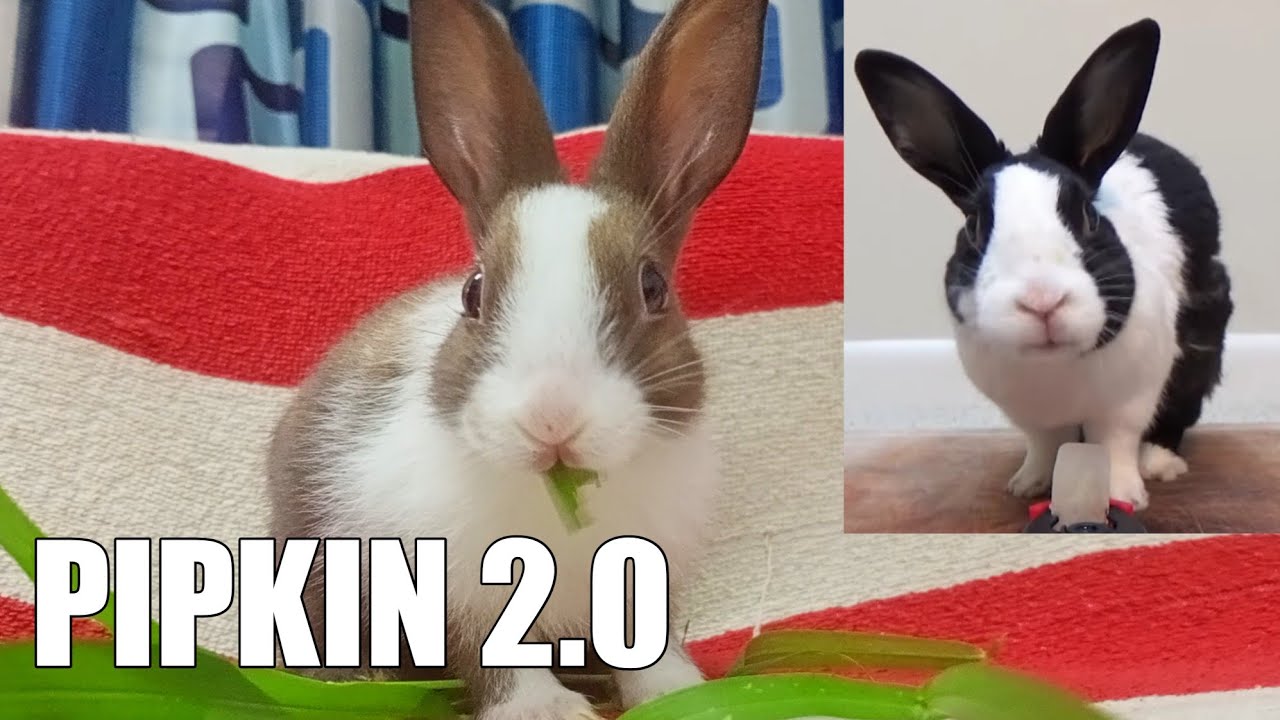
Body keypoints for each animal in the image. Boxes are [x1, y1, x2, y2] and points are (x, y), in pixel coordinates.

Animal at [266, 0, 768, 717]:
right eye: (473, 292)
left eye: (653, 288)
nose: (552, 419)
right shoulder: (453, 592)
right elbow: (489, 658)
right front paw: (548, 708)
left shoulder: (641, 586)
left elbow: (652, 651)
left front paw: (681, 692)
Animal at [853, 18, 1233, 511]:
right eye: (975, 226)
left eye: (1089, 217)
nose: (1042, 300)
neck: (1054, 367)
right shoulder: (1034, 418)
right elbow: (1045, 445)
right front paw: (1028, 483)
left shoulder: (1129, 399)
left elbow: (1116, 443)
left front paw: (1123, 494)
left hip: (1201, 344)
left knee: (1180, 410)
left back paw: (1161, 462)